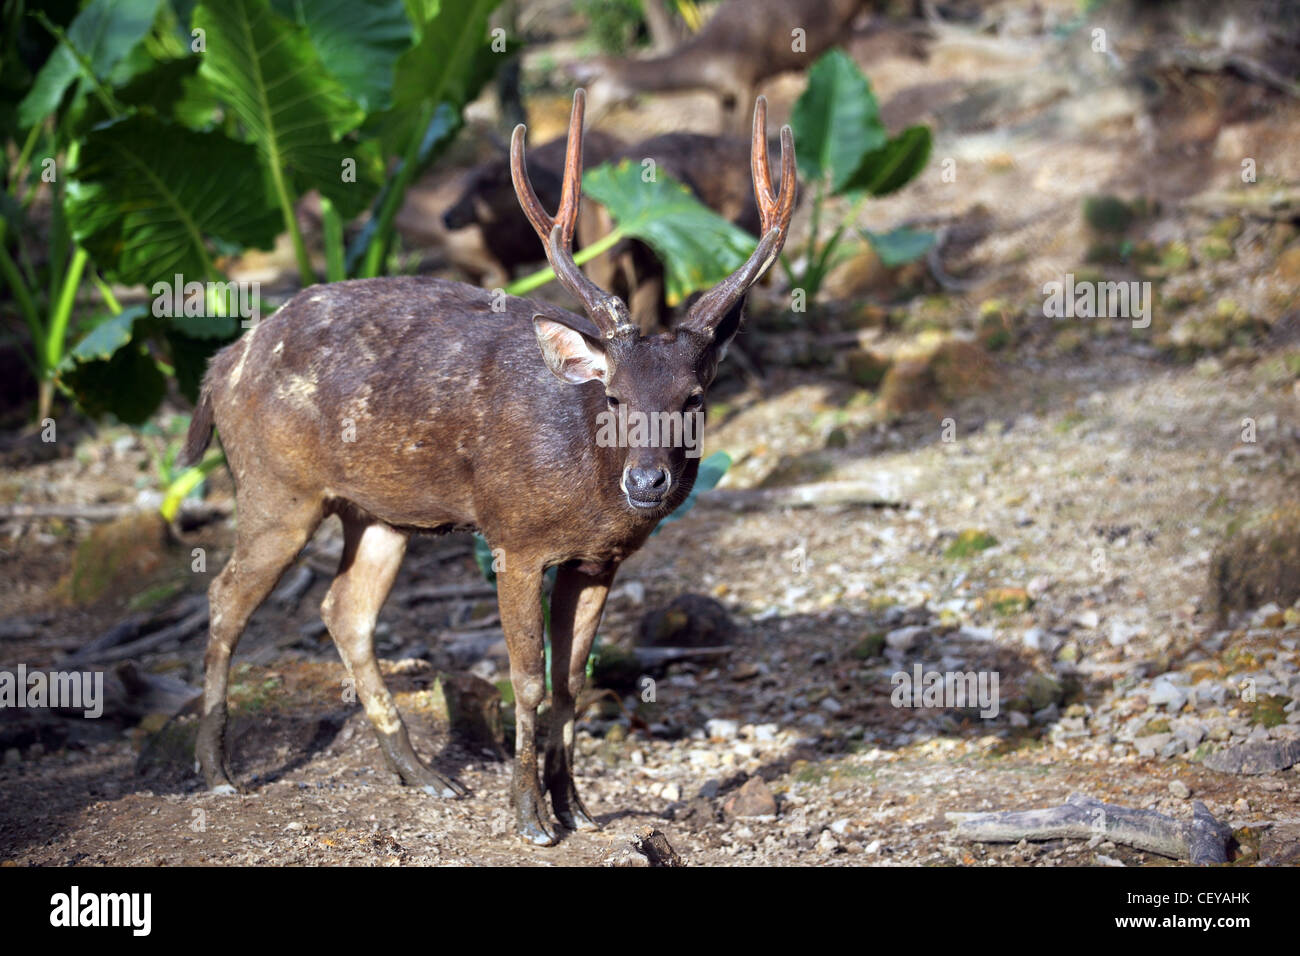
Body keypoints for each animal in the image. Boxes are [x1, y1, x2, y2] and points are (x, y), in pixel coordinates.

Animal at [179, 89, 796, 846]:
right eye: (615, 395)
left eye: (695, 397)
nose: (646, 482)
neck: (584, 486)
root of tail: (221, 366)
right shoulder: (514, 537)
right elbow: (526, 679)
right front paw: (531, 817)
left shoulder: (598, 559)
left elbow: (570, 682)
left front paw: (577, 808)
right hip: (275, 488)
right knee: (225, 597)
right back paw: (217, 771)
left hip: (378, 514)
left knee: (343, 608)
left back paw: (423, 775)